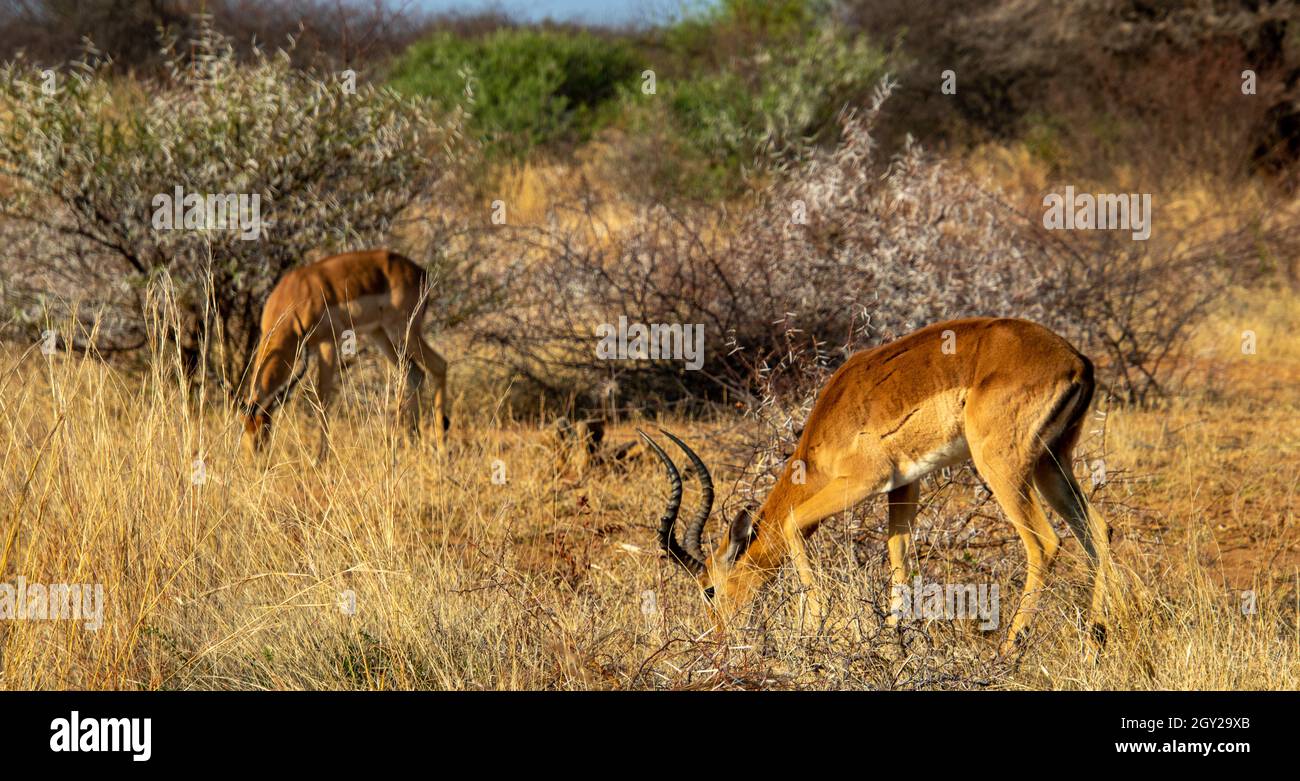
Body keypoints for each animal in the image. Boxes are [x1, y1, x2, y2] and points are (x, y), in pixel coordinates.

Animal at [241, 249, 449, 458]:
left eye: (265, 427)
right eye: (244, 428)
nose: (253, 460)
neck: (293, 295)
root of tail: (421, 272)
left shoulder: (328, 342)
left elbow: (322, 397)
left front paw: (320, 458)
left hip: (404, 332)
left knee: (440, 365)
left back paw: (441, 450)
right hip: (381, 334)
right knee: (414, 374)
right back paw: (410, 445)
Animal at [640, 317, 1114, 655]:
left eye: (709, 589)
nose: (719, 639)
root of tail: (1076, 361)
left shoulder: (863, 481)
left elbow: (792, 523)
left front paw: (816, 630)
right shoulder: (904, 484)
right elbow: (898, 555)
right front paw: (892, 640)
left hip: (1003, 466)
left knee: (1045, 543)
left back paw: (1009, 649)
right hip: (1052, 464)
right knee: (1098, 530)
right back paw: (1099, 638)